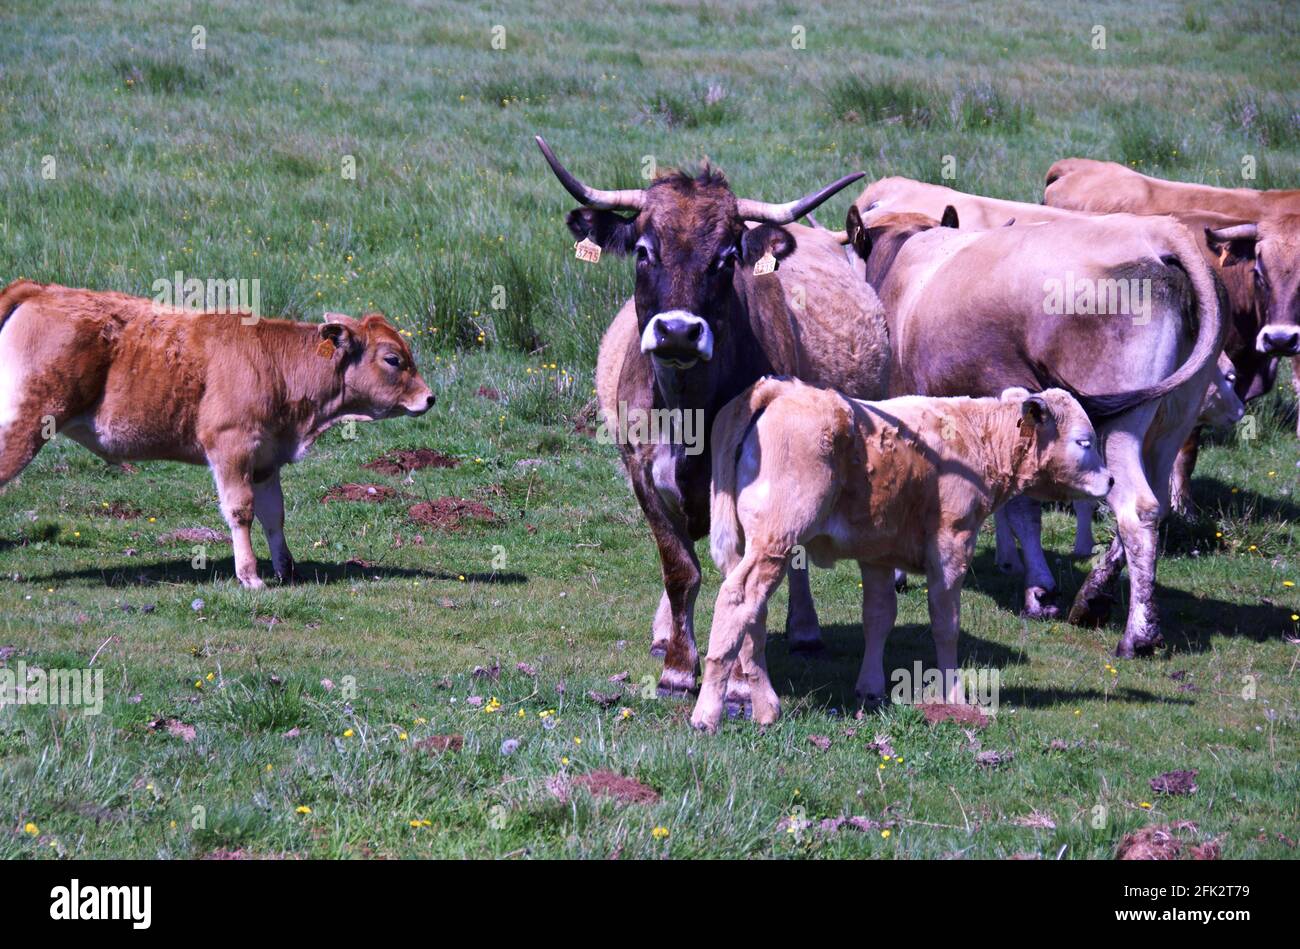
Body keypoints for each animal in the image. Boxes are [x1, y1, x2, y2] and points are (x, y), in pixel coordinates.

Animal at [0, 280, 434, 588]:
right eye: (393, 359)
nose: (429, 398)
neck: (275, 364)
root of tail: (41, 290)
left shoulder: (266, 459)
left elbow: (274, 514)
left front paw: (287, 570)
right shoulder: (231, 448)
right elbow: (241, 511)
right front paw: (251, 576)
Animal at [535, 136, 891, 697]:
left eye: (726, 259)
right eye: (643, 250)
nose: (678, 331)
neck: (690, 414)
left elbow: (743, 580)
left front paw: (742, 680)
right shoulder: (642, 474)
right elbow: (679, 568)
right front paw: (678, 667)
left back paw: (804, 628)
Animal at [694, 378, 1111, 732]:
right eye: (1084, 442)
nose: (1110, 480)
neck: (973, 436)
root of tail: (778, 389)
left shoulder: (878, 553)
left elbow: (878, 617)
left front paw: (870, 688)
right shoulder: (951, 545)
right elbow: (945, 623)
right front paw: (953, 696)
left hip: (752, 546)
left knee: (753, 615)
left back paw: (766, 707)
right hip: (776, 539)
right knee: (738, 599)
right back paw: (707, 714)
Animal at [844, 208, 1224, 658]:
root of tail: (1160, 232)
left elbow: (1019, 508)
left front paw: (1038, 593)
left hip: (1116, 428)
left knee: (1139, 509)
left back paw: (1138, 636)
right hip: (1173, 420)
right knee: (1161, 502)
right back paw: (1092, 598)